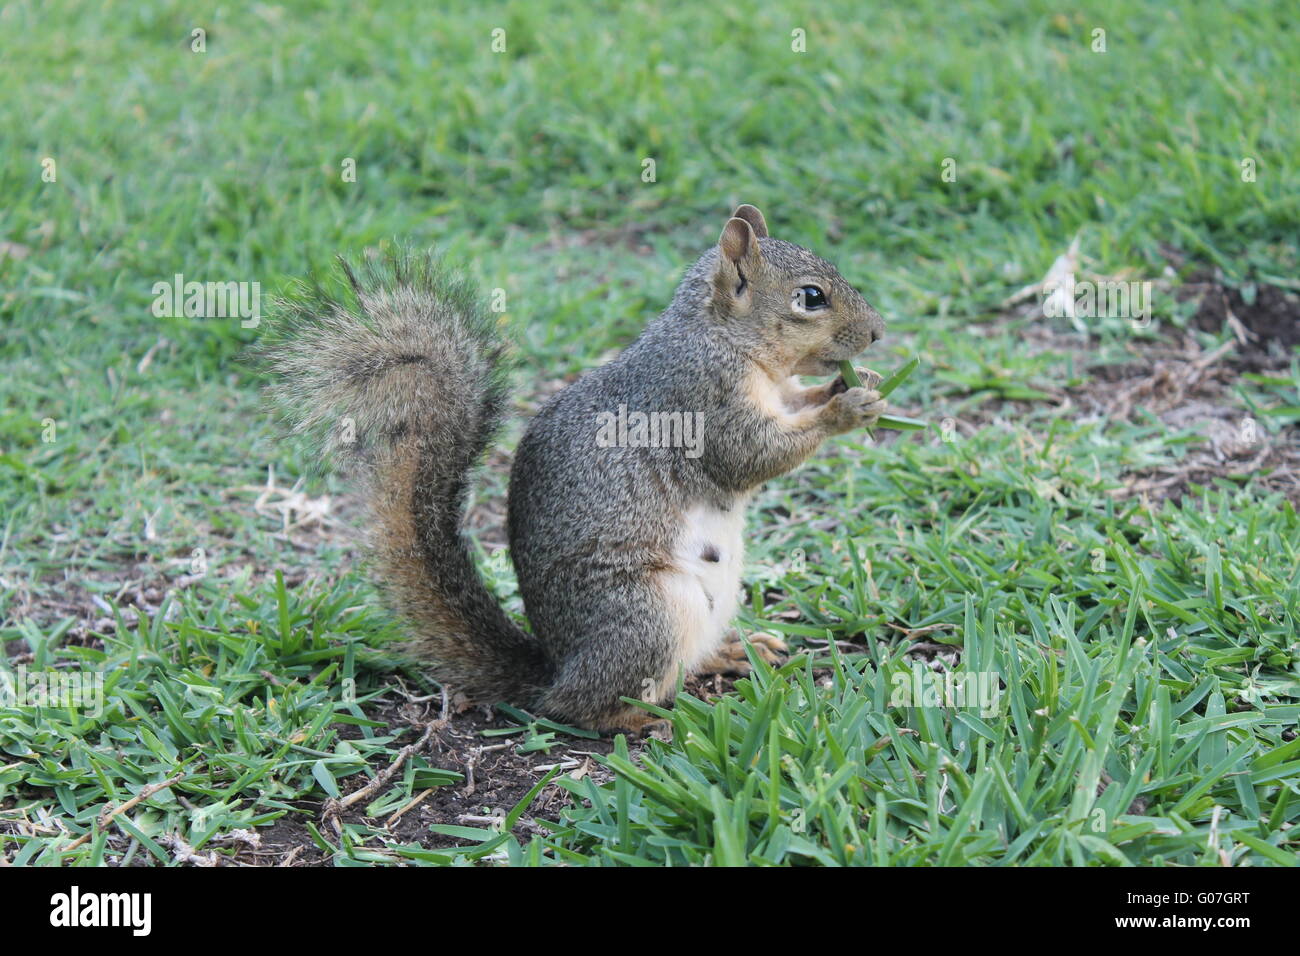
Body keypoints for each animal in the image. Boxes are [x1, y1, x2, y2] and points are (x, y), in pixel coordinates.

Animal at [264, 204, 887, 732]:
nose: (879, 332)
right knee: (586, 707)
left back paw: (735, 652)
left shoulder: (777, 393)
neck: (723, 338)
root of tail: (557, 670)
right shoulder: (699, 401)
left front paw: (854, 384)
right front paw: (846, 408)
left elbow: (795, 407)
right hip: (646, 613)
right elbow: (750, 456)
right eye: (811, 297)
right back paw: (647, 720)